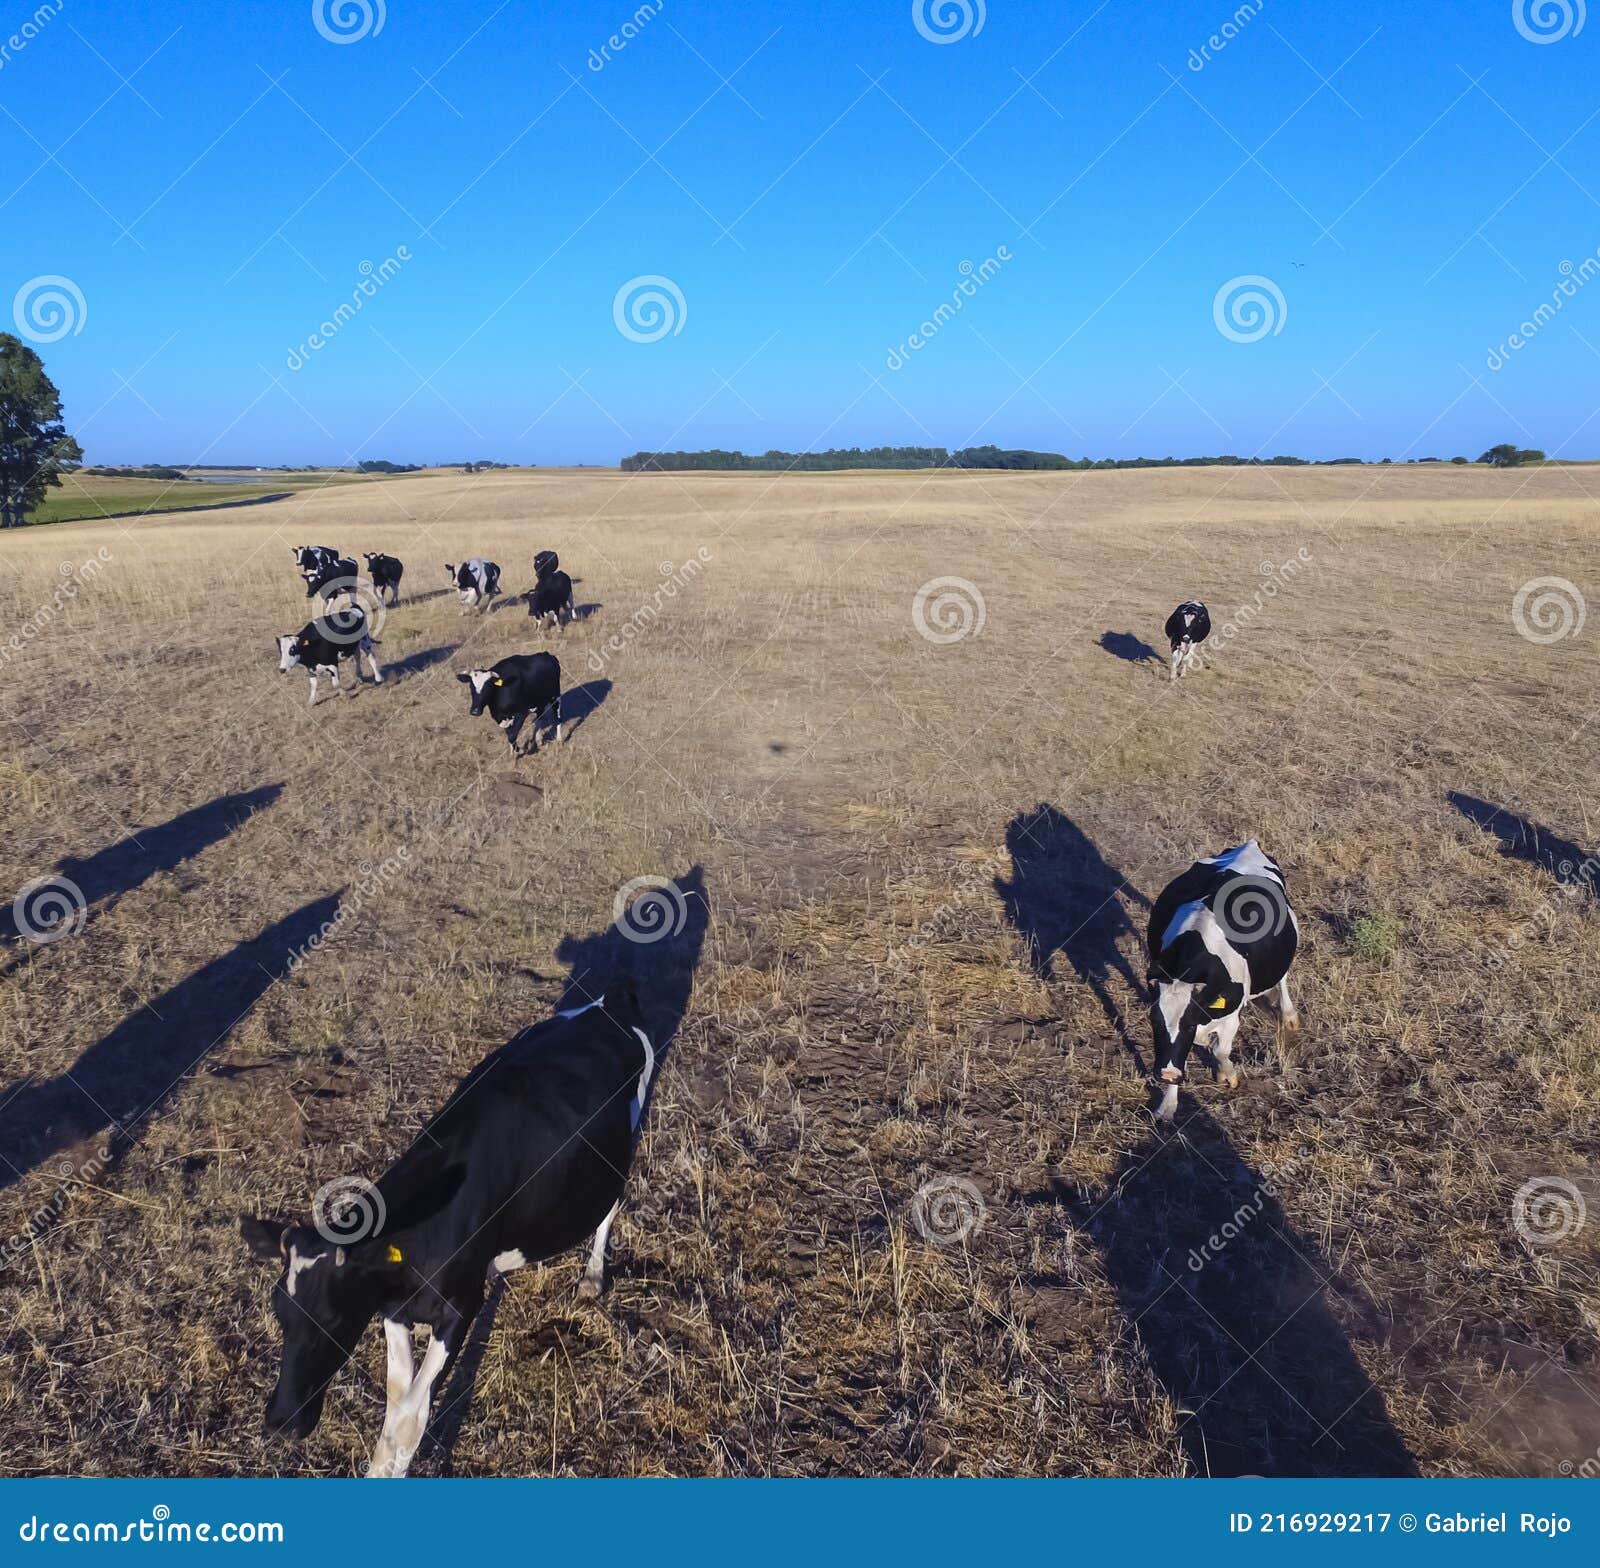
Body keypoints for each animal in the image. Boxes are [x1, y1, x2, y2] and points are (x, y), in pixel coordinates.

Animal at [241, 983, 655, 1478]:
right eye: (279, 1313)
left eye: (334, 1318)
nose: (281, 1422)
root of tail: (611, 1002)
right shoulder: (393, 1307)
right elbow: (396, 1407)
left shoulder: (460, 1305)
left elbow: (408, 1421)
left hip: (626, 1139)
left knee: (610, 1207)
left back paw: (593, 1277)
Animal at [1146, 840, 1299, 1121]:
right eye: (1155, 1022)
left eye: (1187, 1025)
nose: (1166, 1073)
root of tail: (1250, 844)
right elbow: (1183, 1054)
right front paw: (1167, 1106)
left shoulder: (1231, 1017)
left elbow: (1221, 1050)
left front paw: (1226, 1074)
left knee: (1282, 977)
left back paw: (1289, 1014)